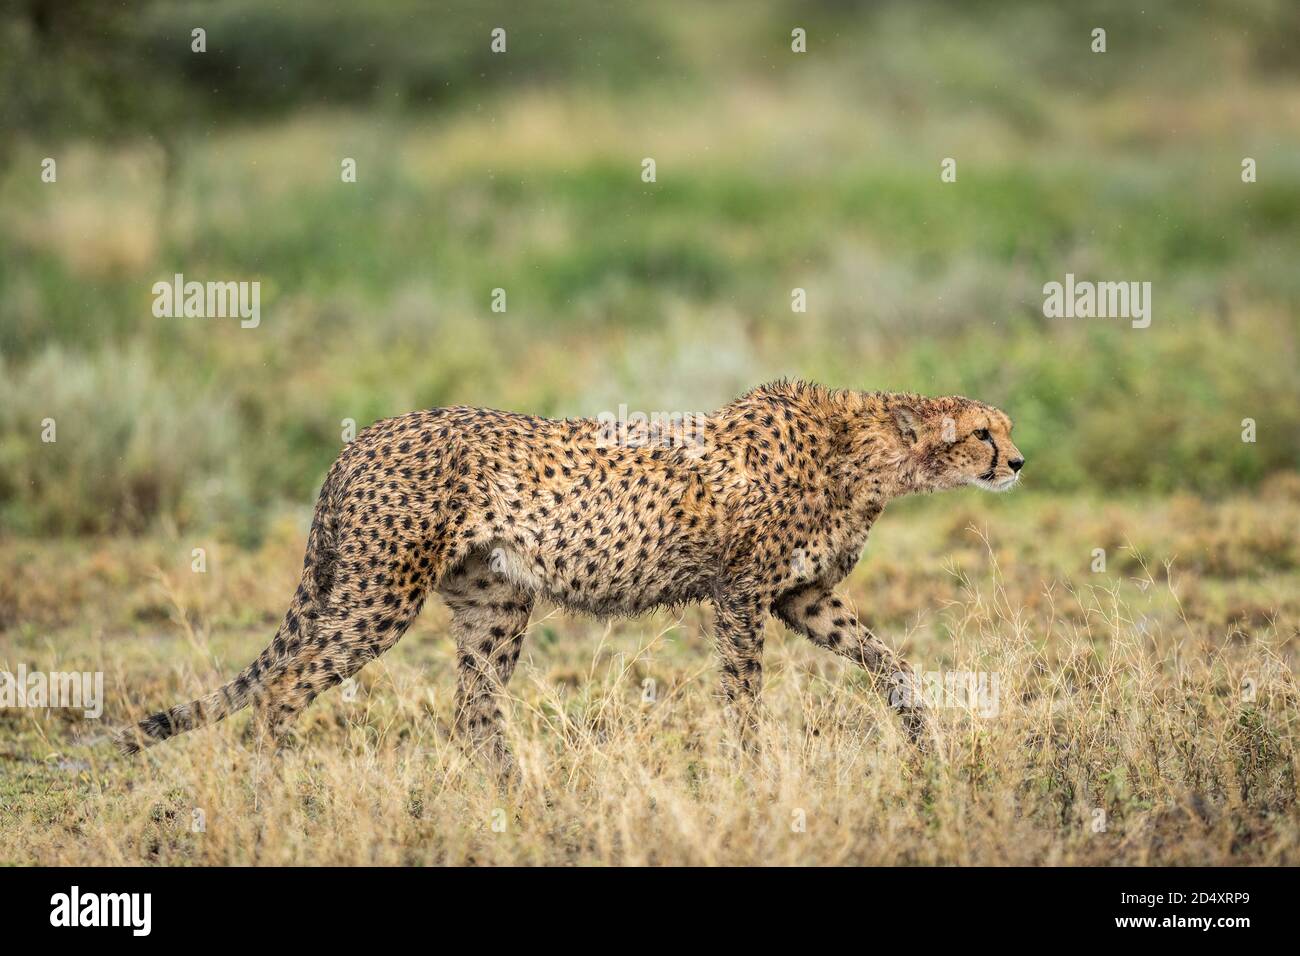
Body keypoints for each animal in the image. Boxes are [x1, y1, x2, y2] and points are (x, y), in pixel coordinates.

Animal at [117, 380, 1024, 767]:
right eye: (983, 432)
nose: (1018, 461)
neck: (863, 452)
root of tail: (362, 436)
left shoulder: (802, 595)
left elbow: (890, 661)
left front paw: (923, 739)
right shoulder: (741, 594)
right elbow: (744, 695)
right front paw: (749, 771)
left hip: (493, 605)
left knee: (472, 710)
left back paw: (509, 799)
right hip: (380, 595)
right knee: (283, 688)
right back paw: (279, 795)